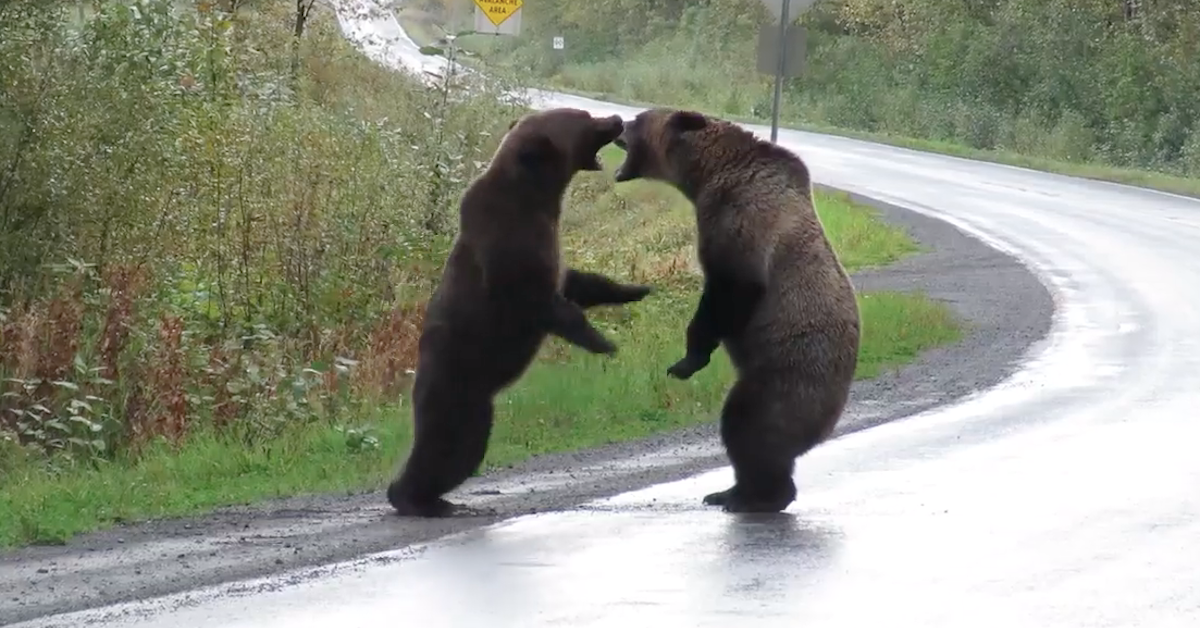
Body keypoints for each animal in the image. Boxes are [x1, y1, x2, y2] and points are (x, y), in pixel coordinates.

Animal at [386, 107, 653, 518]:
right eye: (586, 118)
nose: (616, 118)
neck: (538, 197)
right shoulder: (511, 252)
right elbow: (547, 305)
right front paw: (604, 343)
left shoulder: (549, 249)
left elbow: (578, 283)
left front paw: (636, 289)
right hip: (457, 389)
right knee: (446, 446)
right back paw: (417, 499)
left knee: (462, 452)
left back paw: (439, 499)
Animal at [612, 107, 861, 513]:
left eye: (639, 118)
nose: (618, 121)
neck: (707, 173)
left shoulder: (741, 216)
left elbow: (731, 288)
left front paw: (686, 360)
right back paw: (731, 492)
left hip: (787, 373)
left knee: (748, 425)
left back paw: (752, 496)